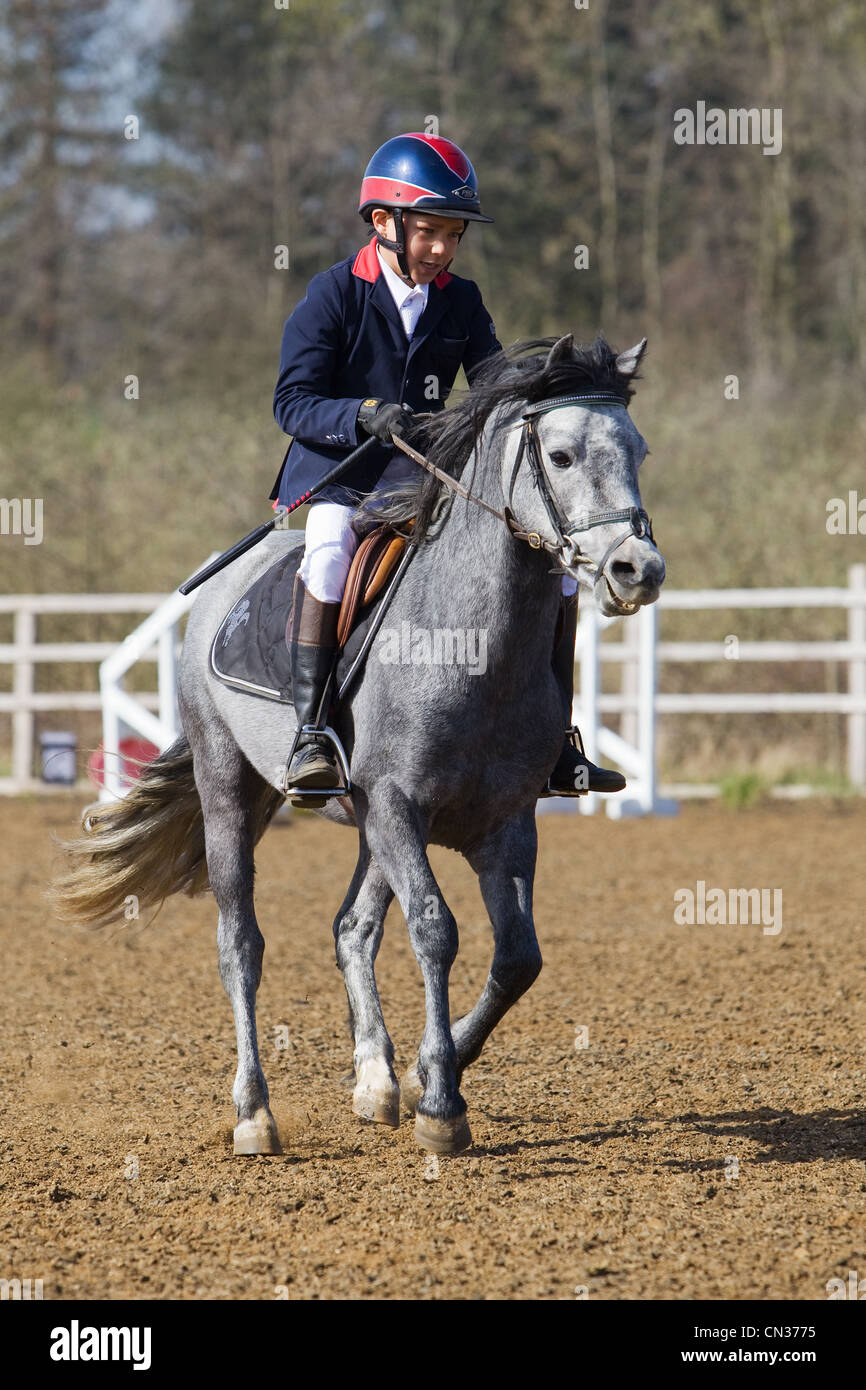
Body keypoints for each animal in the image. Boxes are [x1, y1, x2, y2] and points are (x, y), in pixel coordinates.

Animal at [53, 334, 666, 1158]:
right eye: (562, 456)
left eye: (638, 449)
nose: (639, 570)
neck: (475, 647)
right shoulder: (401, 808)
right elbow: (435, 931)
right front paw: (440, 1102)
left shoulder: (505, 823)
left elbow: (517, 957)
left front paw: (429, 1069)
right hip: (232, 794)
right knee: (241, 945)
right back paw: (254, 1113)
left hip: (369, 827)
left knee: (352, 929)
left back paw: (375, 1082)